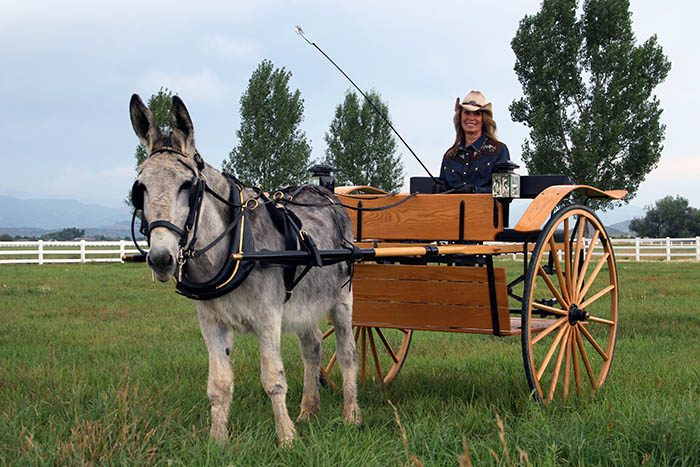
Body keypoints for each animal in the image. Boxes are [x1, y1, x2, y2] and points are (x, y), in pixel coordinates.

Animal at [128, 94, 361, 446]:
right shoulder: (211, 322)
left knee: (347, 353)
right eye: (139, 187)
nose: (160, 259)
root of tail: (325, 191)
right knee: (313, 347)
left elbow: (273, 378)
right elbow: (219, 384)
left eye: (187, 186)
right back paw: (308, 411)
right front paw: (217, 441)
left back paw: (351, 415)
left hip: (342, 301)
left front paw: (286, 439)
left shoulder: (268, 317)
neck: (234, 248)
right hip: (303, 305)